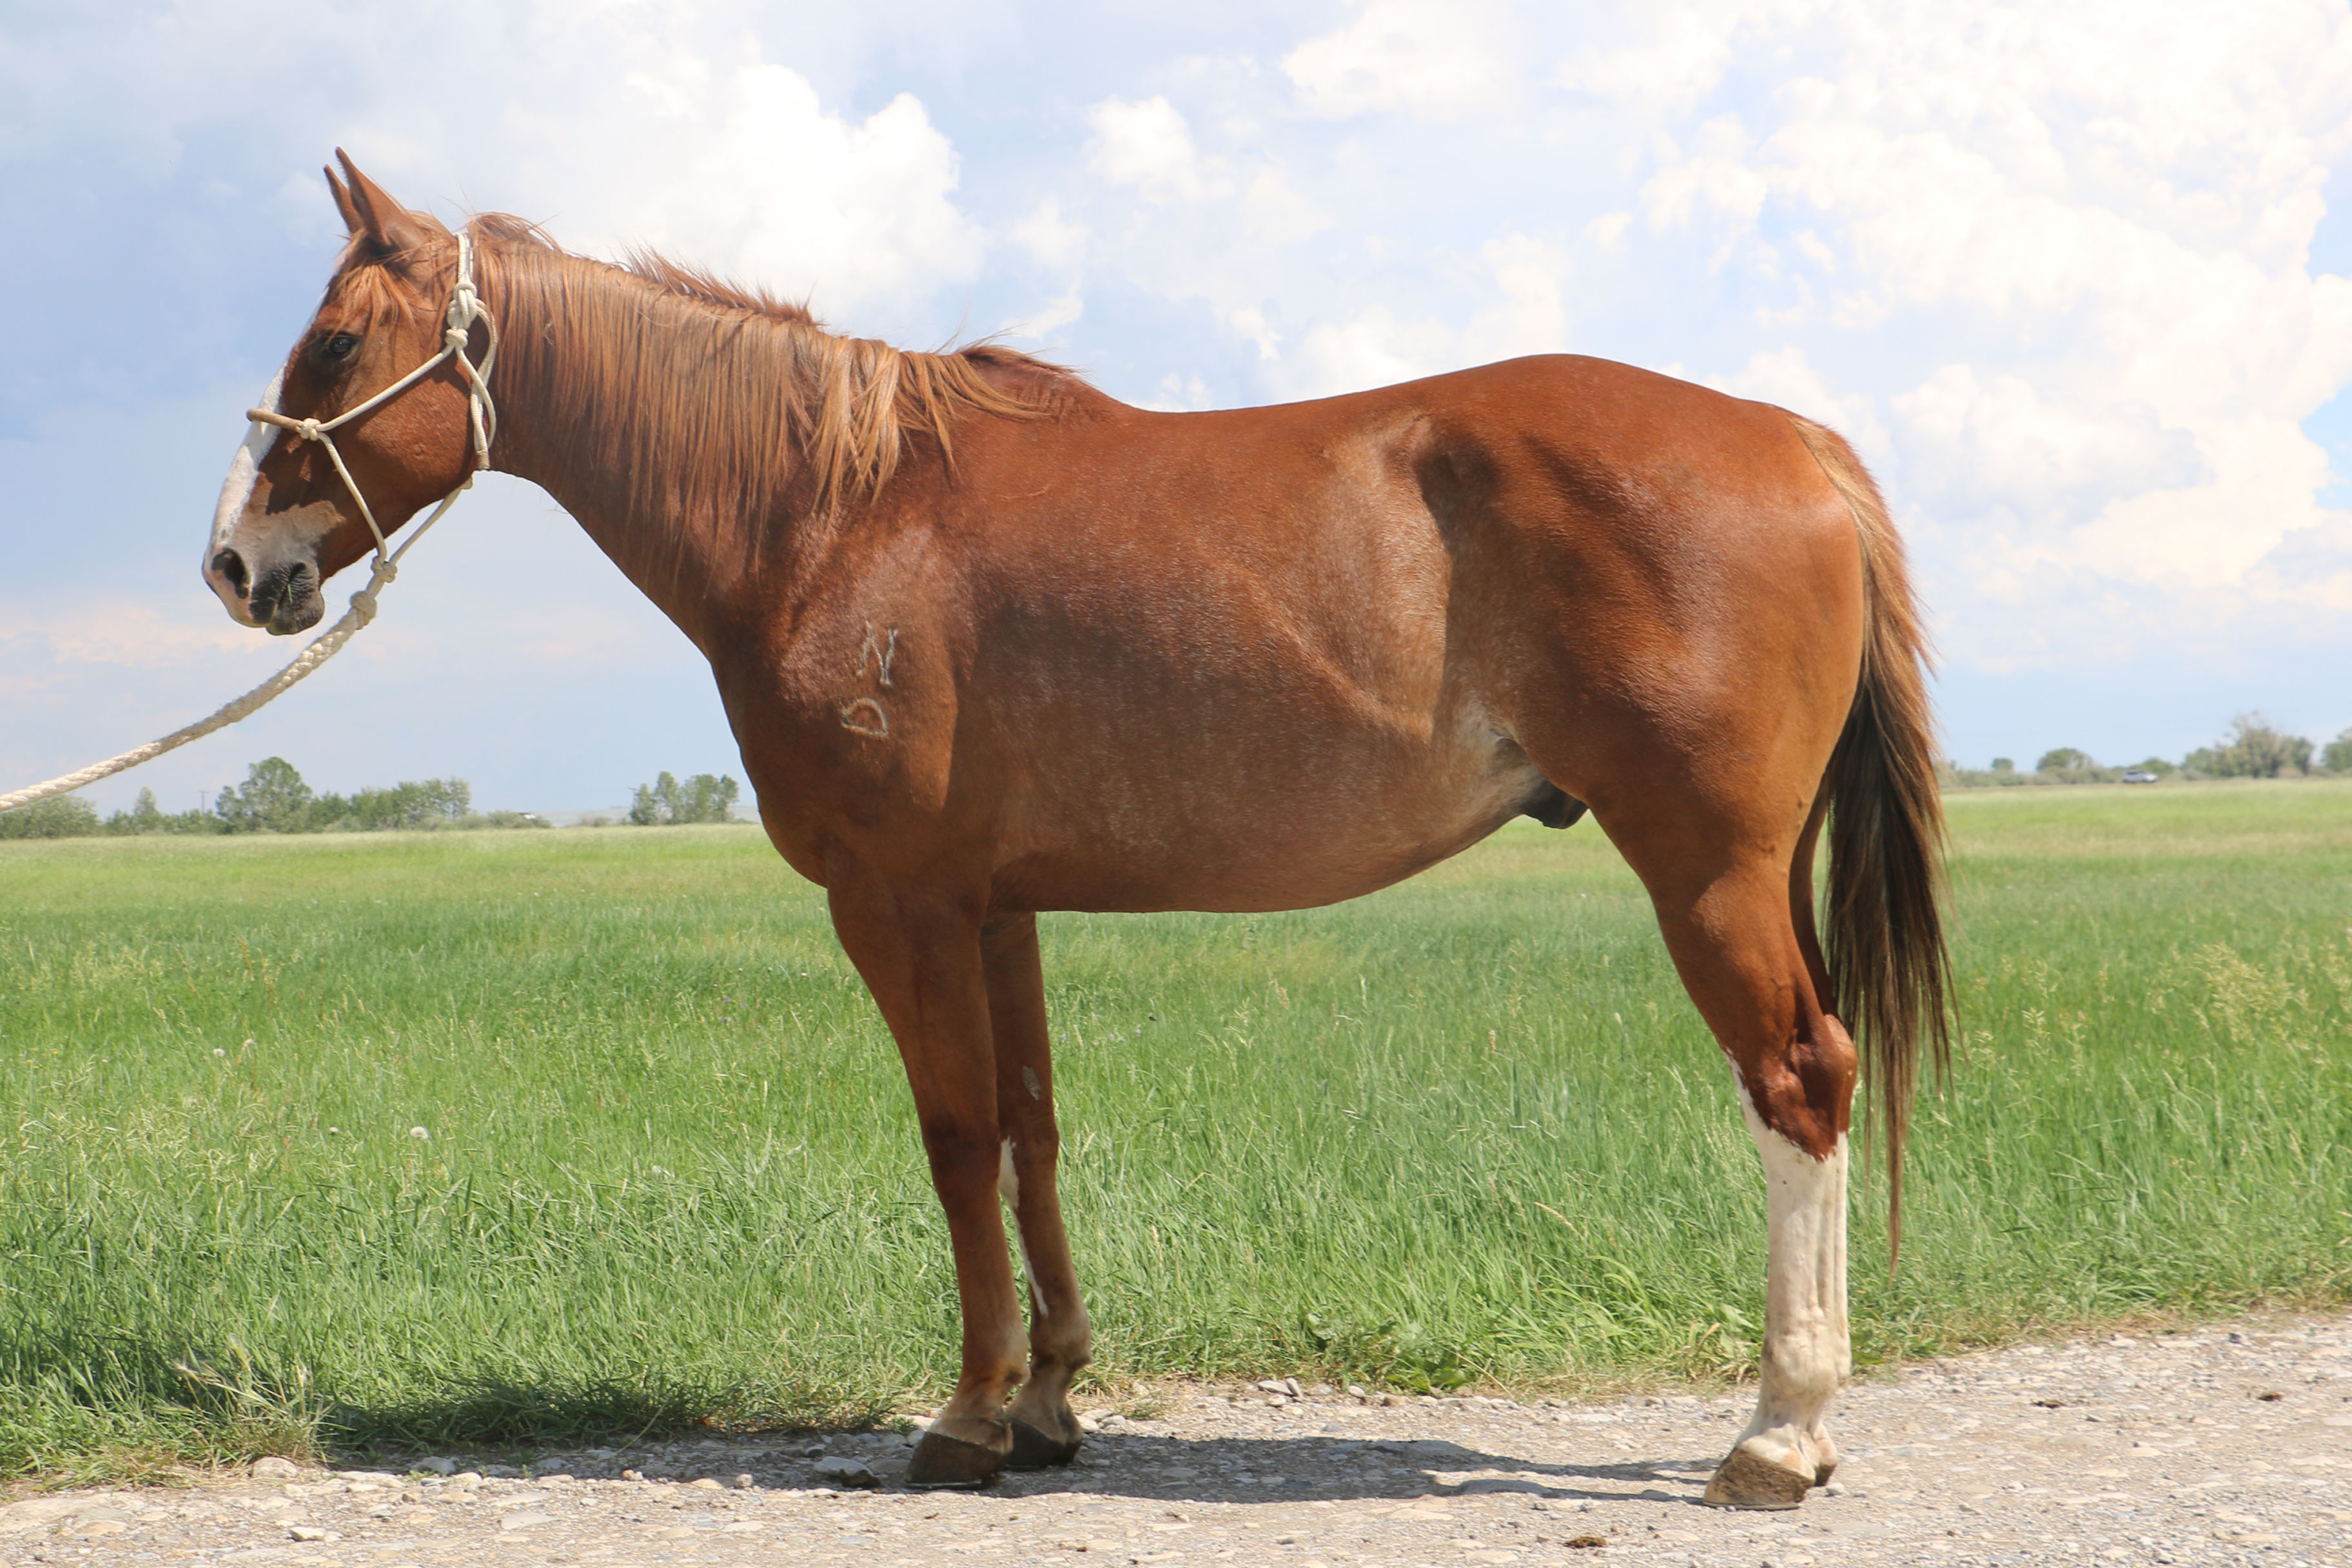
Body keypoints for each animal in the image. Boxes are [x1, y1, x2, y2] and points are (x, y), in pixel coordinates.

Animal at [202, 153, 1949, 1508]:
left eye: (336, 337)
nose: (234, 564)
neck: (835, 512)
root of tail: (1795, 441)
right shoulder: (998, 905)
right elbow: (1032, 1130)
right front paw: (1048, 1400)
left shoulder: (898, 901)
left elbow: (956, 1136)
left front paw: (971, 1416)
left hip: (1707, 872)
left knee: (1800, 1079)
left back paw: (1781, 1432)